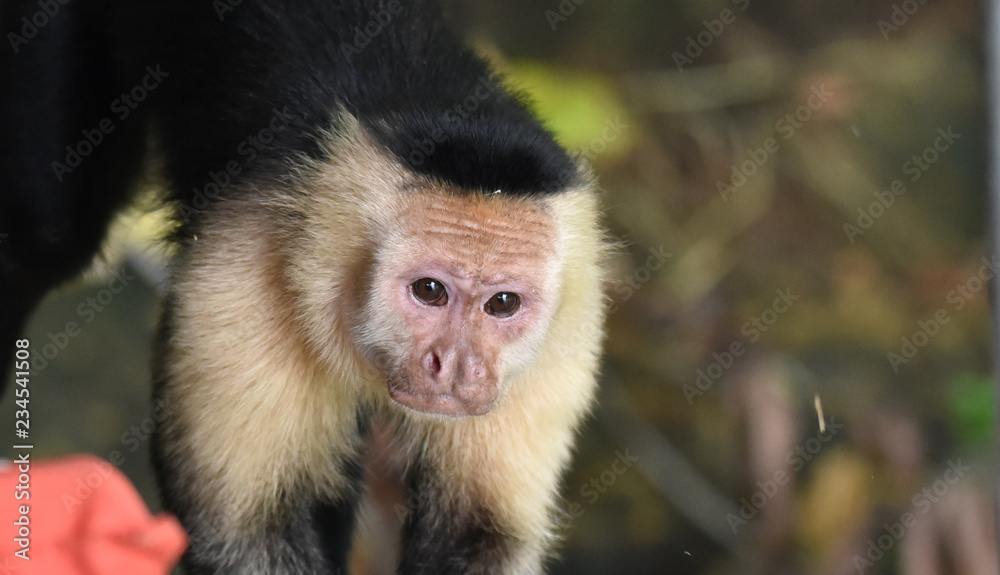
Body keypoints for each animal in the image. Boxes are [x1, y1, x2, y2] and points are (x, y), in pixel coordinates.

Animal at [1, 0, 609, 573]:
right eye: (430, 291)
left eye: (502, 303)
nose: (458, 366)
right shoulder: (244, 273)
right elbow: (244, 535)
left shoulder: (569, 329)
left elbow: (482, 535)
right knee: (49, 239)